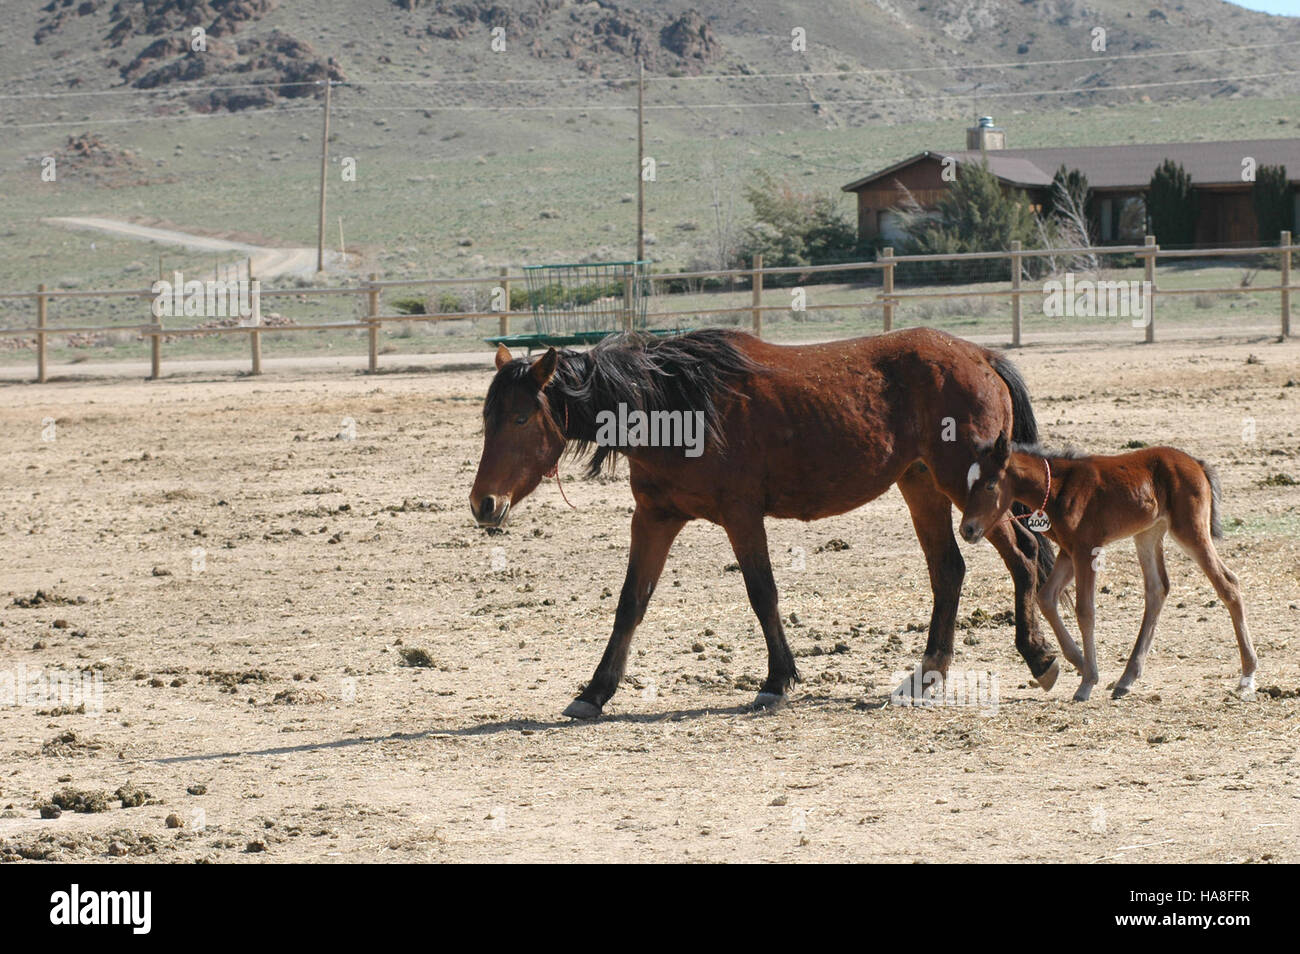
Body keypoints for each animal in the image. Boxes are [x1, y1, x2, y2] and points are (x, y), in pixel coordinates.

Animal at [470, 328, 1060, 719]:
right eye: (487, 418)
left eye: (521, 418)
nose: (483, 504)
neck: (677, 405)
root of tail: (980, 354)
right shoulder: (655, 518)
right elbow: (631, 602)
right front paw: (594, 692)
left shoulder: (741, 516)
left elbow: (762, 593)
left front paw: (776, 681)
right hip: (921, 486)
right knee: (949, 570)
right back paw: (926, 676)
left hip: (970, 490)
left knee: (1024, 556)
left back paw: (1037, 656)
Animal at [957, 434, 1257, 701]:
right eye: (969, 482)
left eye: (991, 484)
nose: (967, 529)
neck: (1057, 488)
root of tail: (1197, 463)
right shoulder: (1068, 551)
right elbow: (1046, 598)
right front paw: (1079, 663)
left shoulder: (1086, 549)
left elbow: (1085, 610)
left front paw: (1087, 682)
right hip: (1148, 533)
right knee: (1157, 589)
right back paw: (1126, 680)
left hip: (1190, 530)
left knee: (1228, 583)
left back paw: (1247, 676)